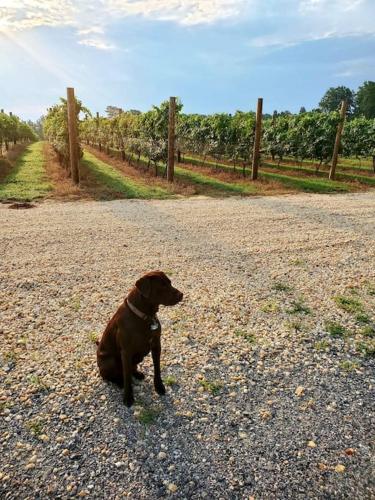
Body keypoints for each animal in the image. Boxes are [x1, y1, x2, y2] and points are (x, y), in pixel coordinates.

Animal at [97, 272, 184, 408]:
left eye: (170, 283)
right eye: (162, 285)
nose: (181, 294)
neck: (145, 316)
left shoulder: (156, 345)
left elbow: (157, 369)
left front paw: (159, 387)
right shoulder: (126, 352)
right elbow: (127, 378)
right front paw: (128, 397)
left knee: (130, 369)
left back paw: (137, 374)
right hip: (109, 361)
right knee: (112, 376)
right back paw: (119, 382)